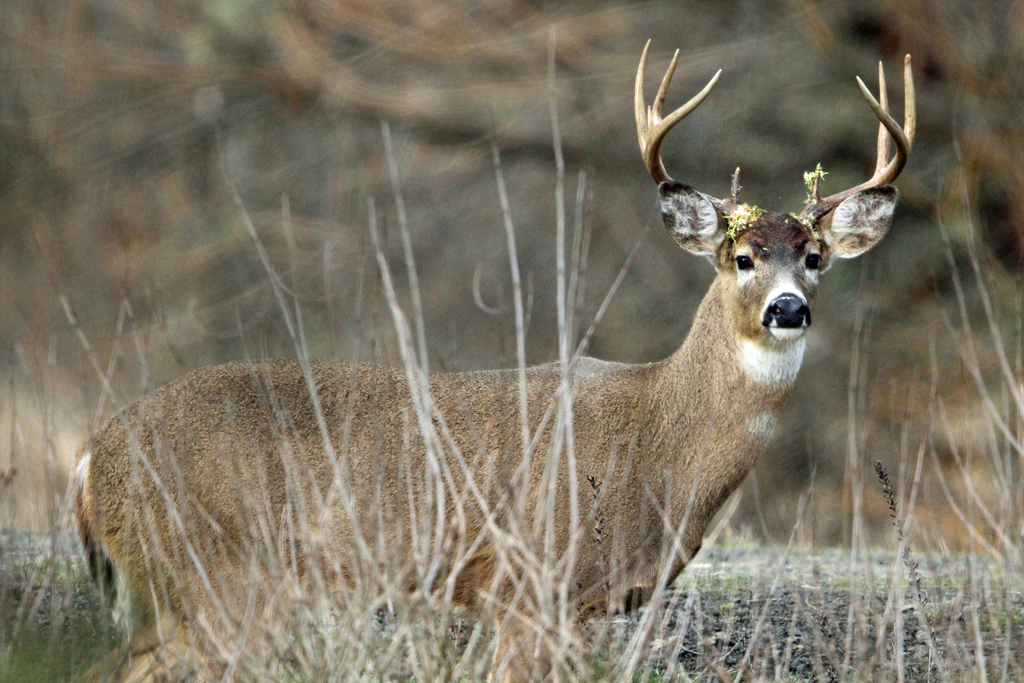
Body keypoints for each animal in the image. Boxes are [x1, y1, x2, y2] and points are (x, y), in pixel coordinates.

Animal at [71, 42, 914, 683]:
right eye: (741, 257)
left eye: (814, 257)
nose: (789, 308)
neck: (663, 443)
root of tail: (88, 460)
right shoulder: (529, 582)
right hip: (215, 570)